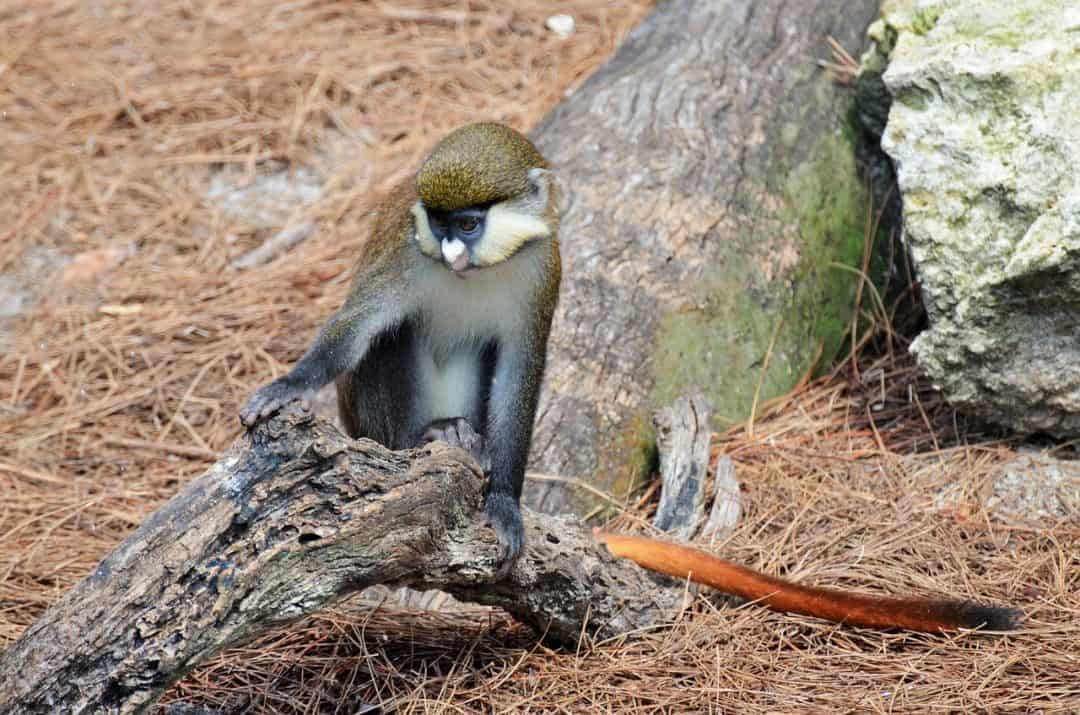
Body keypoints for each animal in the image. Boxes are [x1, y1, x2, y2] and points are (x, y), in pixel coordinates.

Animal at [240, 123, 560, 575]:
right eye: (438, 223)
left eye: (467, 225)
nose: (449, 253)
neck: (477, 273)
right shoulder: (406, 257)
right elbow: (358, 325)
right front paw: (288, 385)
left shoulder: (543, 272)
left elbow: (518, 376)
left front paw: (503, 502)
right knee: (394, 333)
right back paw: (423, 436)